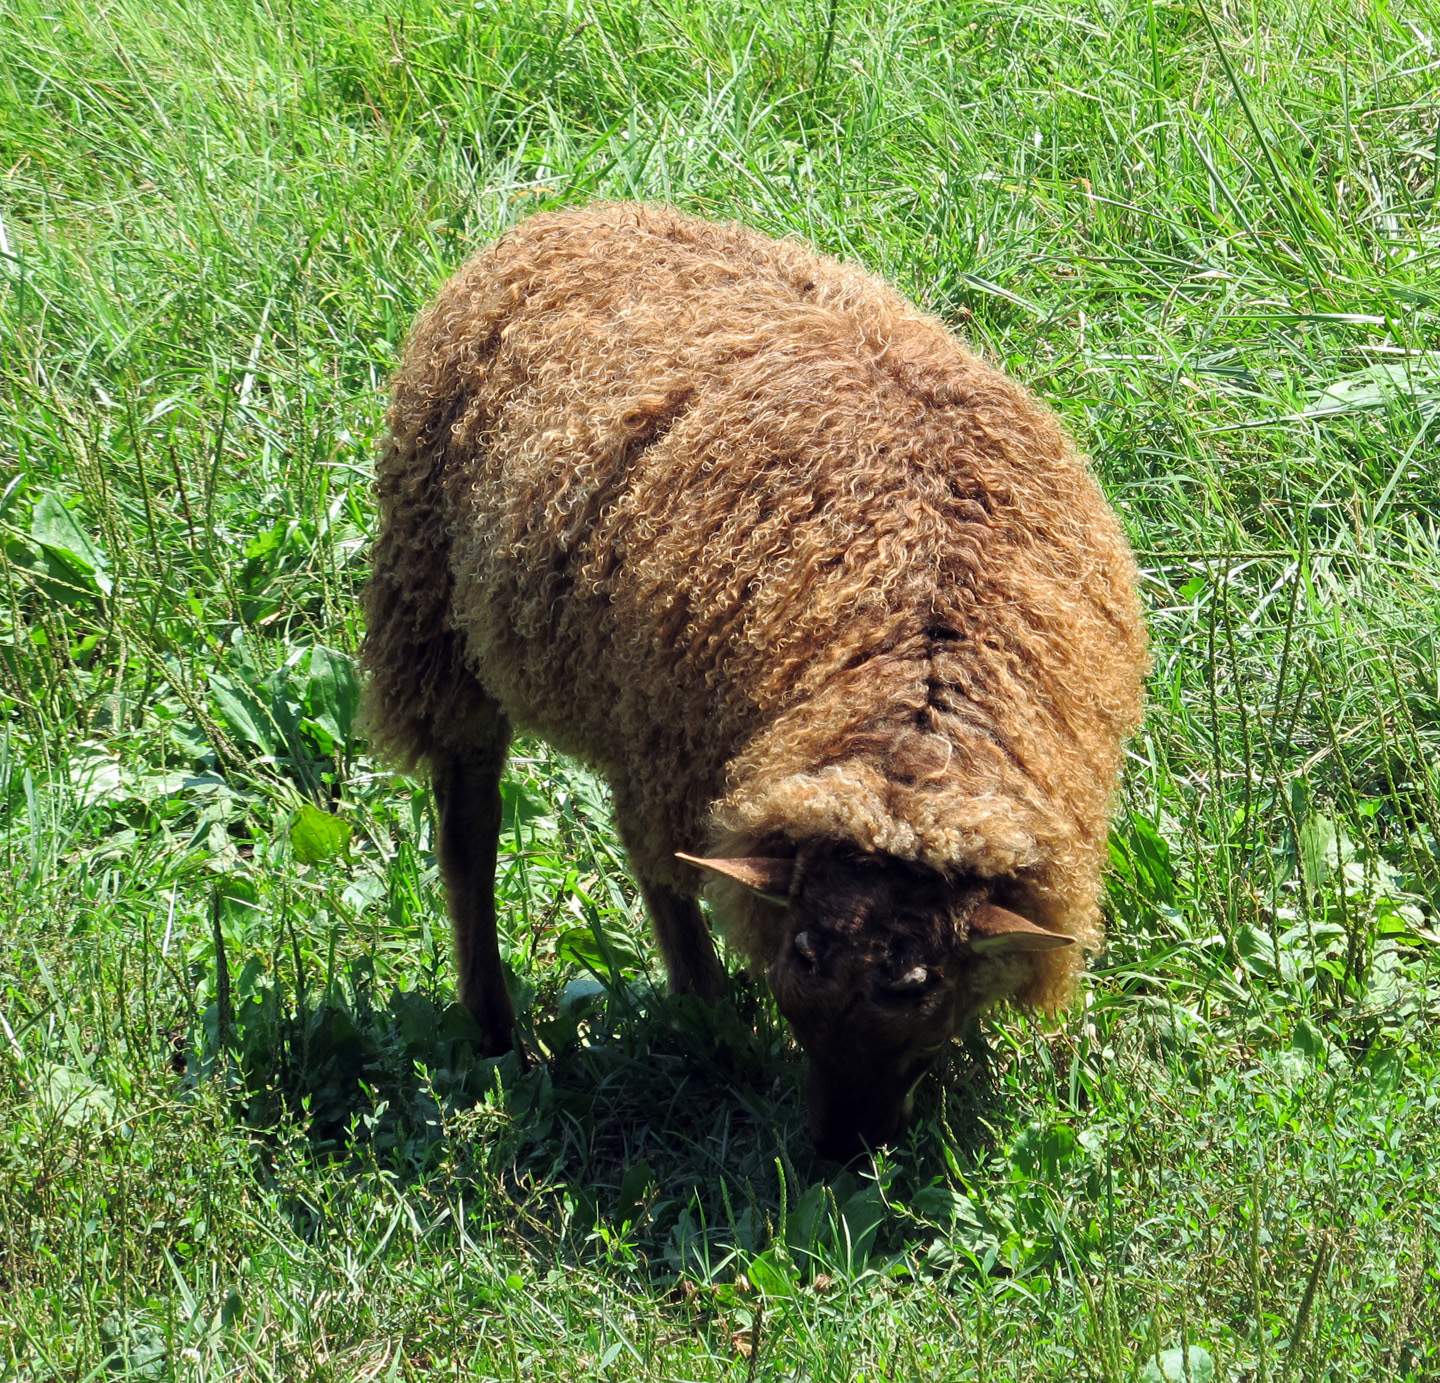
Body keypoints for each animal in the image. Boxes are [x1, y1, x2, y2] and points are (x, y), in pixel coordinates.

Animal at [361, 202, 1147, 1160]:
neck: (913, 726)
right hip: (438, 612)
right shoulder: (678, 751)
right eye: (799, 1001)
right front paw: (720, 1030)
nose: (840, 1158)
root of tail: (571, 211)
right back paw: (502, 1032)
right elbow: (667, 879)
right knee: (472, 825)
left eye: (924, 1020)